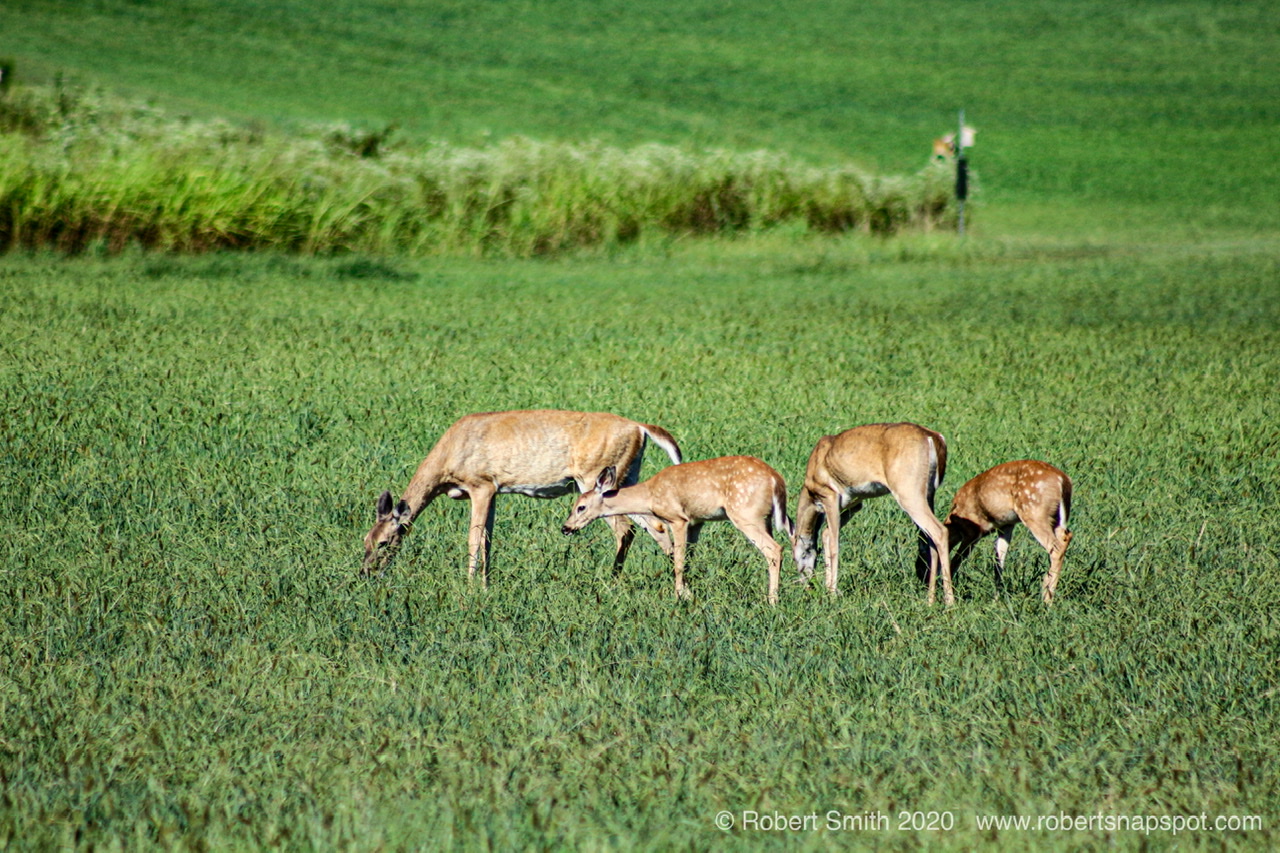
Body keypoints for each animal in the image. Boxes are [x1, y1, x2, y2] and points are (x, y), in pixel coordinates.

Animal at [362, 410, 682, 584]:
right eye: (365, 540)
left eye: (384, 542)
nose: (366, 572)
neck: (449, 455)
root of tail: (640, 428)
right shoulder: (494, 492)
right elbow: (488, 539)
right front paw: (486, 585)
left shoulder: (481, 485)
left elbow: (474, 538)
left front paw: (469, 587)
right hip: (628, 479)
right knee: (656, 526)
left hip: (594, 481)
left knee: (626, 530)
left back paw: (612, 582)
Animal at [561, 456, 795, 604]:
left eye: (580, 507)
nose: (565, 527)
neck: (650, 495)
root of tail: (776, 480)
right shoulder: (696, 521)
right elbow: (688, 559)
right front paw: (690, 594)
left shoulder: (678, 519)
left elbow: (679, 561)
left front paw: (679, 596)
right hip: (770, 518)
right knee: (794, 536)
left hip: (745, 513)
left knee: (774, 549)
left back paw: (772, 600)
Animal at [793, 422, 953, 604]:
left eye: (797, 556)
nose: (807, 585)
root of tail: (933, 437)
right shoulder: (854, 504)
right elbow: (826, 535)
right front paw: (828, 590)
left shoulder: (830, 497)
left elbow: (834, 543)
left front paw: (832, 594)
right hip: (929, 494)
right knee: (930, 540)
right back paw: (930, 600)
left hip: (908, 493)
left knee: (940, 531)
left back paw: (949, 602)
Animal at [944, 460, 1073, 604]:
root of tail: (1063, 479)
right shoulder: (1006, 525)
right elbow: (999, 561)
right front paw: (996, 601)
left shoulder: (972, 531)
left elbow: (955, 561)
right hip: (1058, 519)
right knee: (1065, 538)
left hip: (1034, 512)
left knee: (1056, 548)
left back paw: (1047, 598)